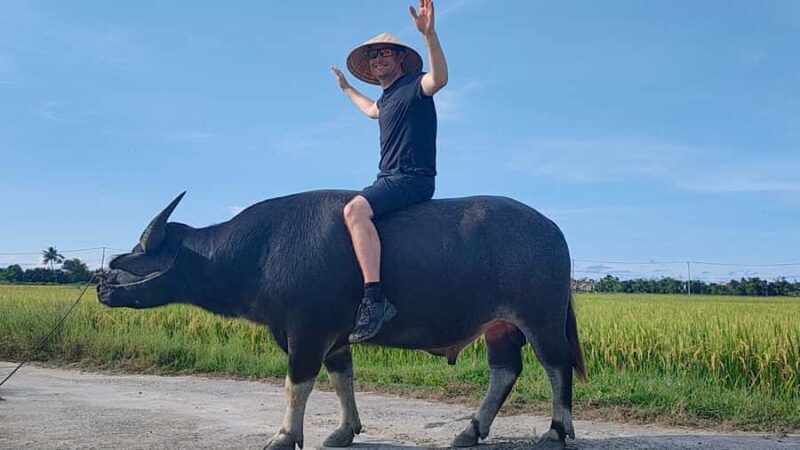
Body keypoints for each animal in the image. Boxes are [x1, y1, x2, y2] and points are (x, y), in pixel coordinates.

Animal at [97, 190, 585, 449]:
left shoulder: (306, 332)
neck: (259, 252)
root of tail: (553, 229)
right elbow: (341, 379)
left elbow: (297, 384)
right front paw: (345, 430)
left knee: (556, 366)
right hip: (498, 327)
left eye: (140, 253)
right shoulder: (333, 339)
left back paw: (556, 432)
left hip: (541, 318)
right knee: (505, 370)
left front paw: (284, 435)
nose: (103, 283)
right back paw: (470, 430)